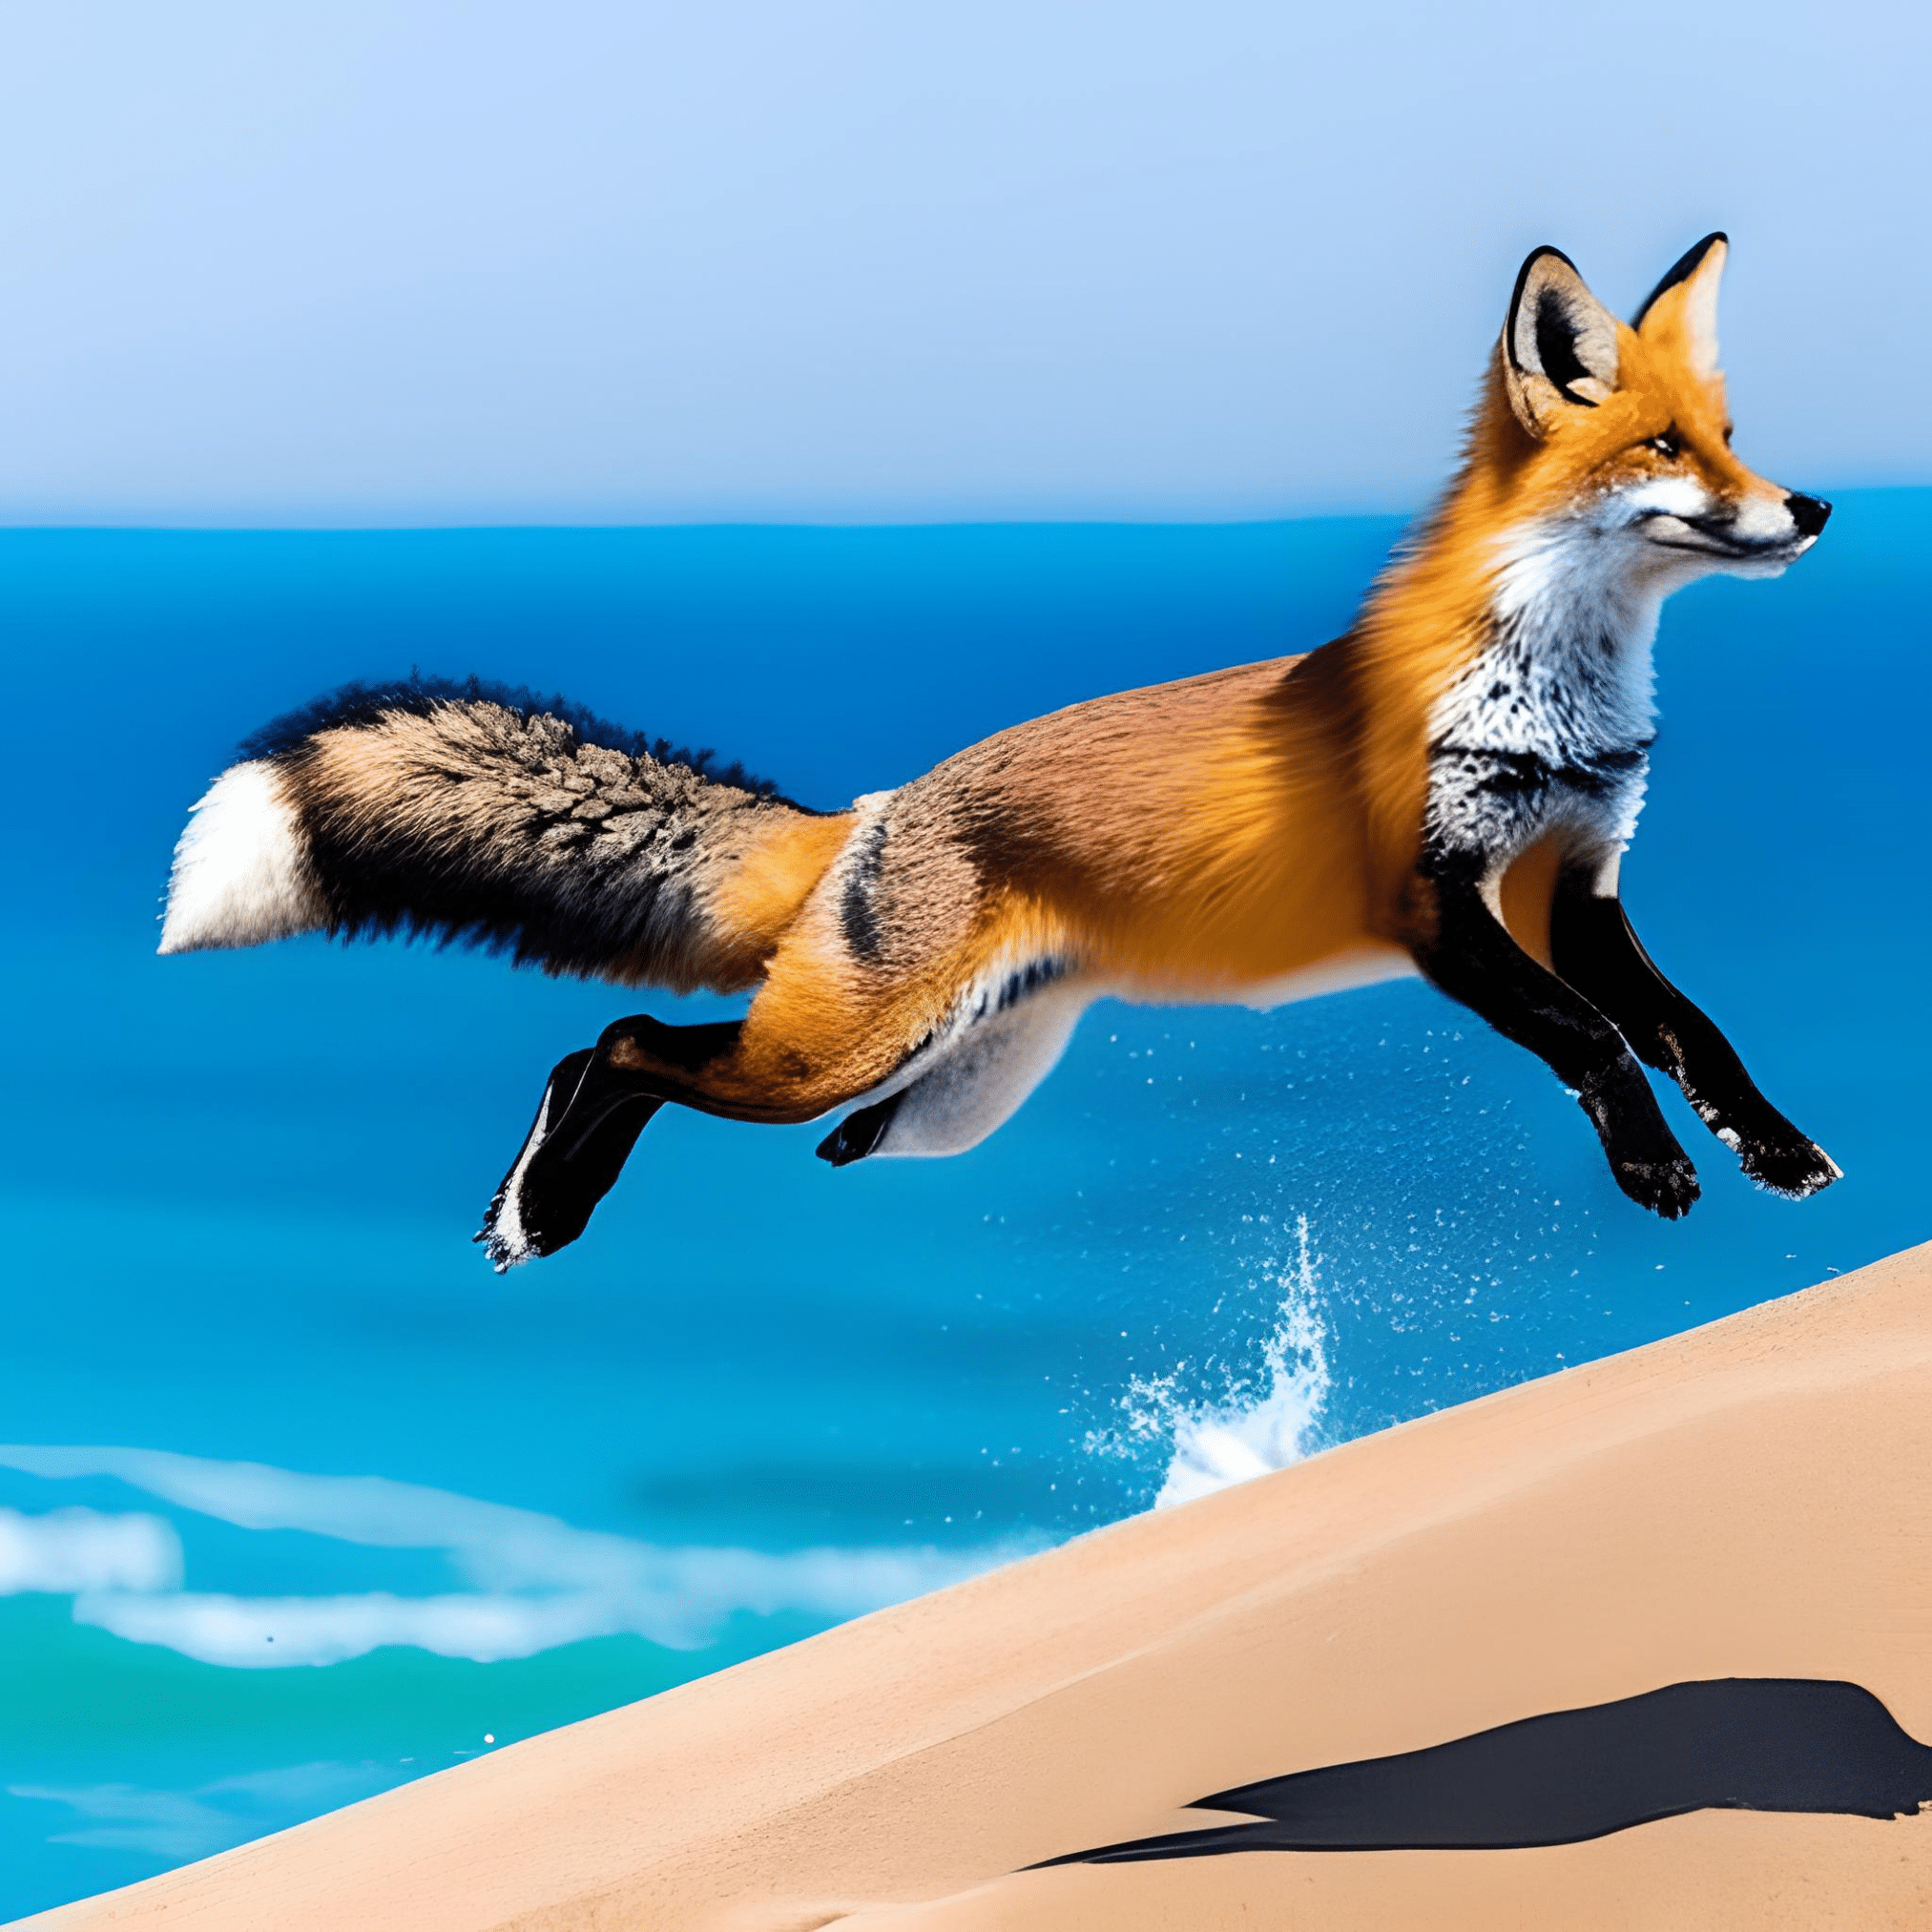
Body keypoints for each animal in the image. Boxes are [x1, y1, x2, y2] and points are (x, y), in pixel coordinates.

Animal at [160, 233, 1839, 1269]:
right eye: (1665, 450)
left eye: (1734, 435)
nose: (1811, 507)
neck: (1551, 701)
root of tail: (865, 812)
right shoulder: (1436, 901)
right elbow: (1599, 1041)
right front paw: (1655, 1167)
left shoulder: (1577, 884)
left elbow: (1693, 1031)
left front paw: (1771, 1146)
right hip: (833, 1051)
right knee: (619, 1043)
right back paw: (542, 1203)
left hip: (948, 1094)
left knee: (769, 1111)